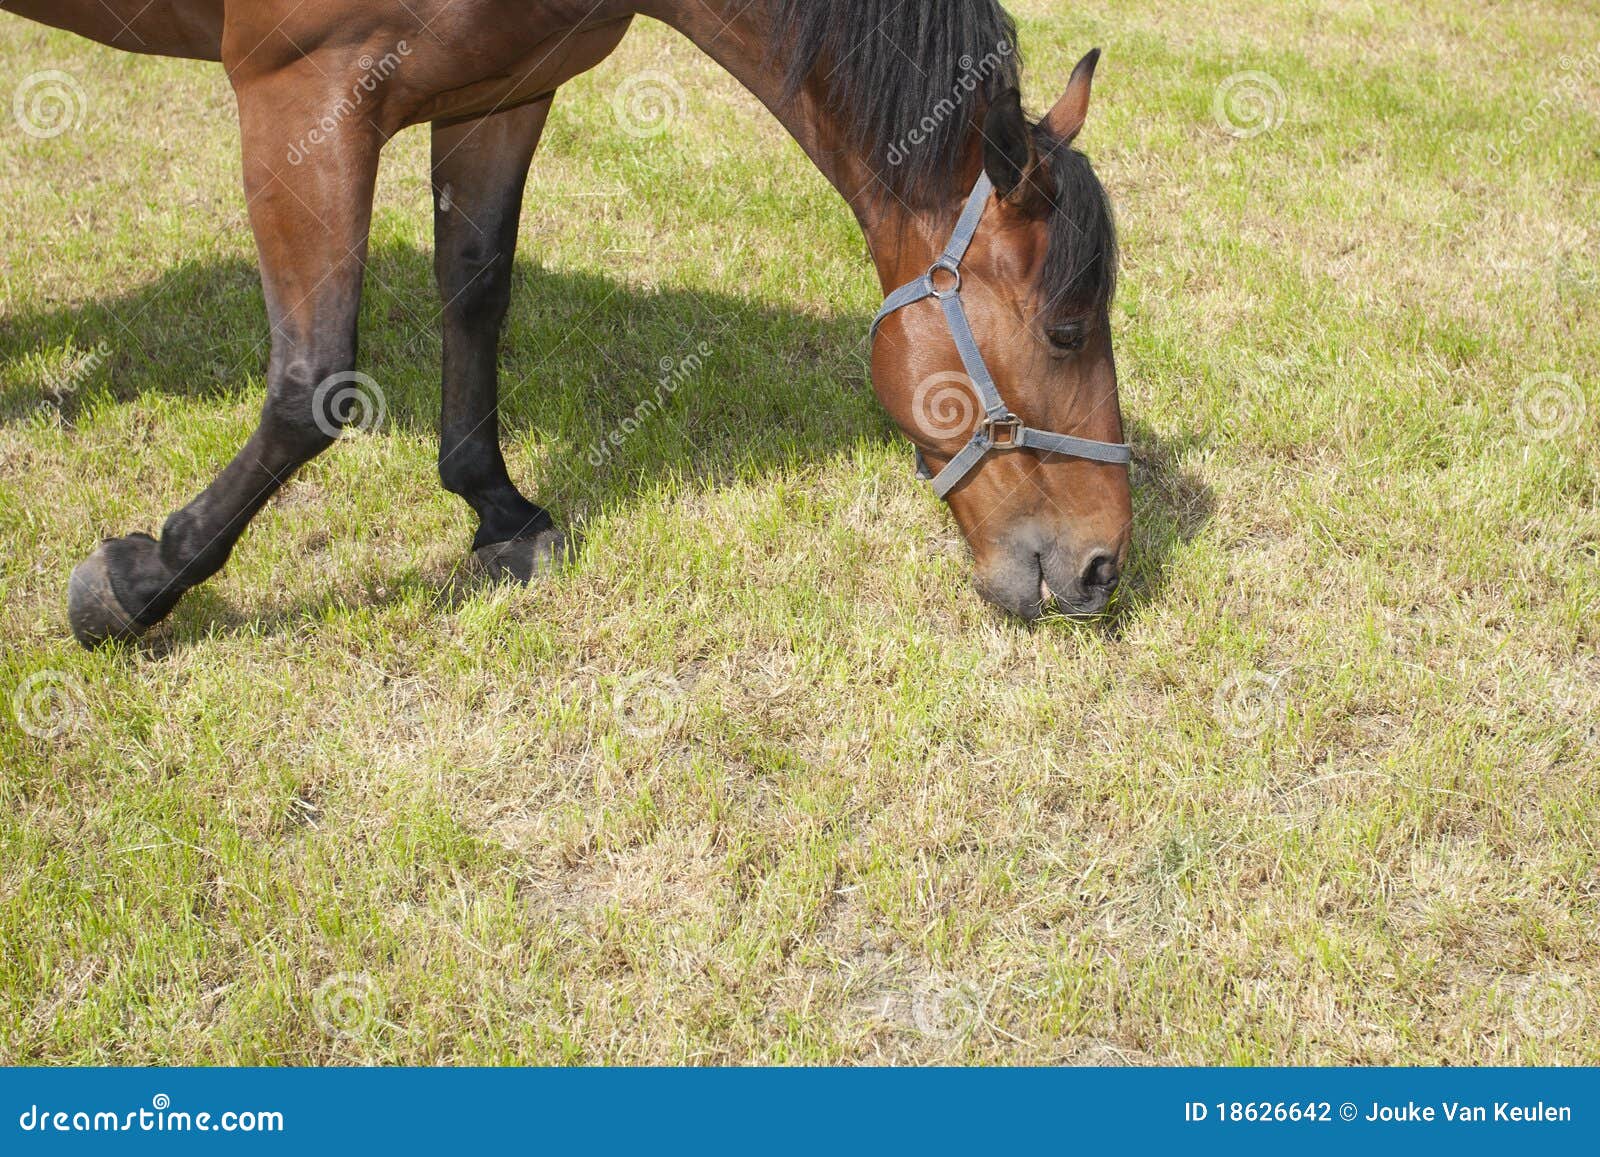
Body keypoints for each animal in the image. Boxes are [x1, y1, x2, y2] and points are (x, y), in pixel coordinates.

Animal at [3, 0, 1132, 645]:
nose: (1103, 566)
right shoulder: (305, 92)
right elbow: (313, 380)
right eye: (1067, 332)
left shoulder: (501, 88)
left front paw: (495, 508)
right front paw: (140, 580)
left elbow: (476, 294)